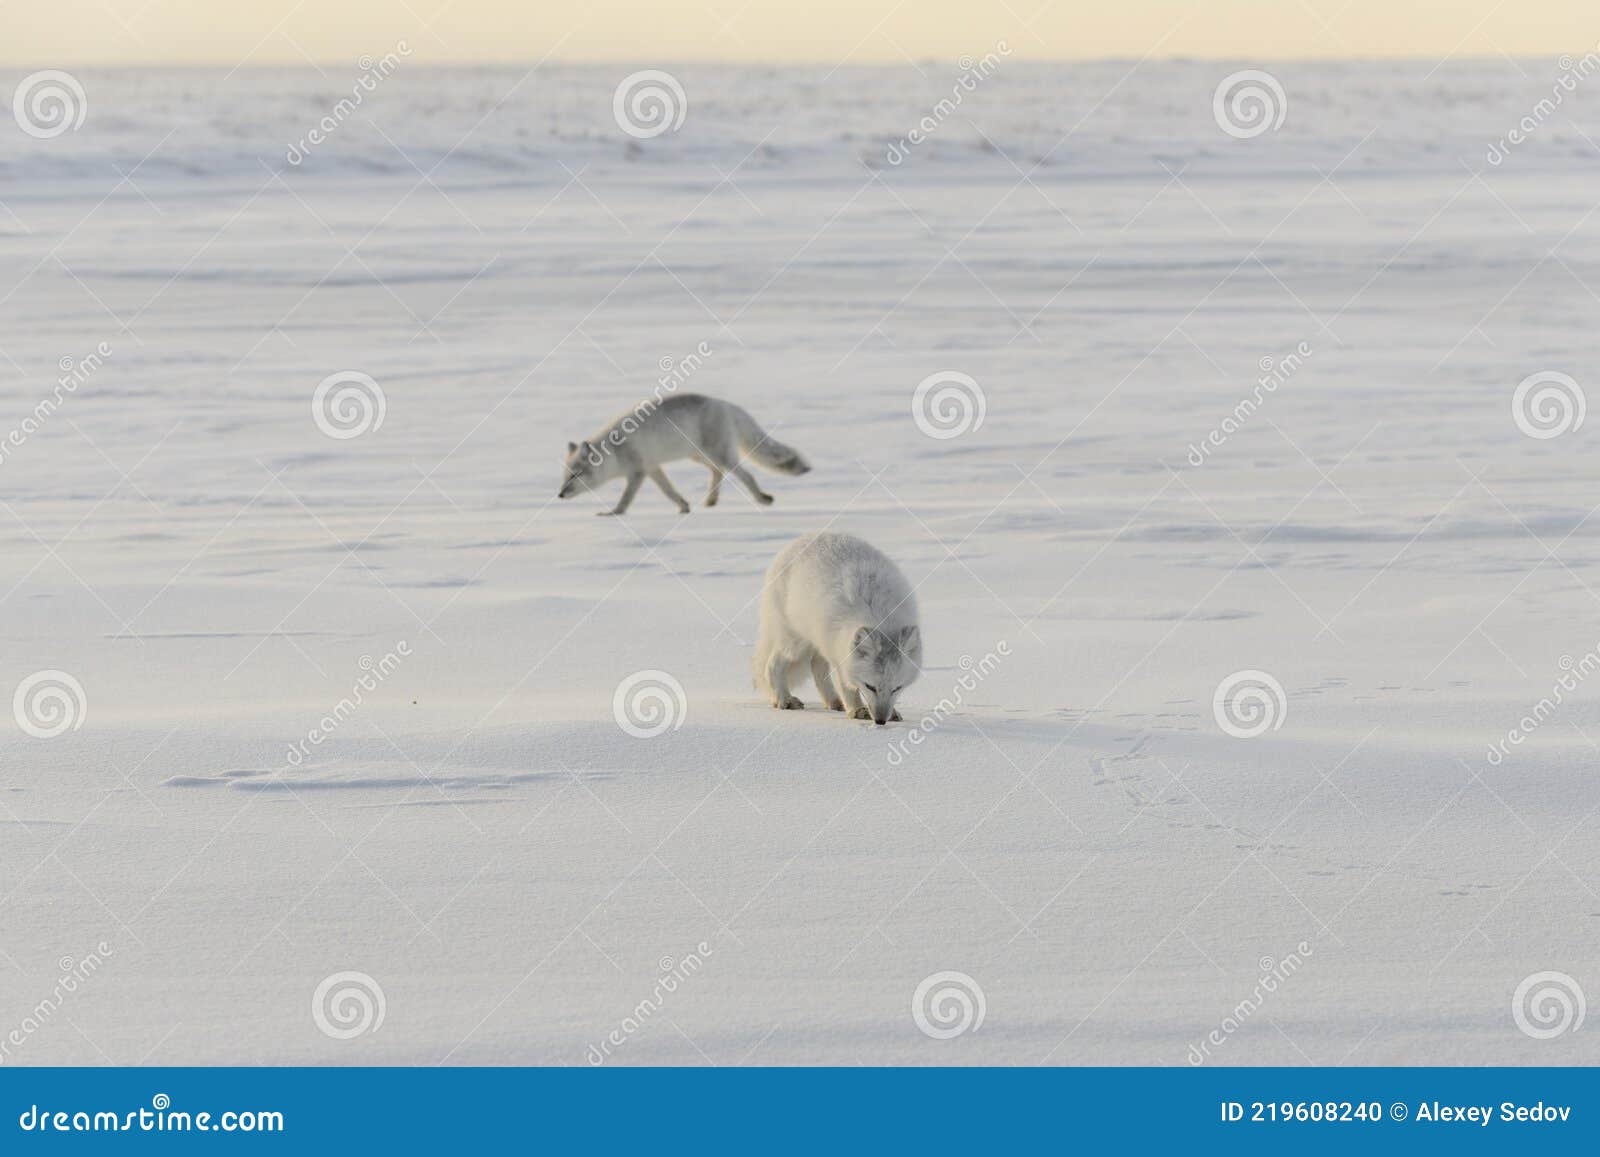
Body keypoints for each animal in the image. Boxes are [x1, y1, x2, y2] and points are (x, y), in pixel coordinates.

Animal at [556, 393, 810, 515]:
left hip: (719, 454)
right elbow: (669, 491)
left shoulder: (638, 472)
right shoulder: (653, 468)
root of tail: (726, 404)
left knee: (745, 475)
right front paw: (683, 506)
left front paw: (614, 513)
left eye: (575, 475)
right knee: (717, 472)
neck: (616, 452)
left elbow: (626, 498)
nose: (560, 494)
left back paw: (761, 498)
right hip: (699, 455)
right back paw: (711, 500)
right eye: (565, 475)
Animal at [754, 531, 922, 725]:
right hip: (796, 641)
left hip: (817, 640)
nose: (880, 721)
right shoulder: (839, 652)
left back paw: (833, 701)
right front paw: (857, 710)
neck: (881, 618)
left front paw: (892, 712)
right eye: (870, 686)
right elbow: (847, 686)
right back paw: (784, 699)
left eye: (897, 688)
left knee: (817, 666)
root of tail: (800, 540)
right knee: (773, 664)